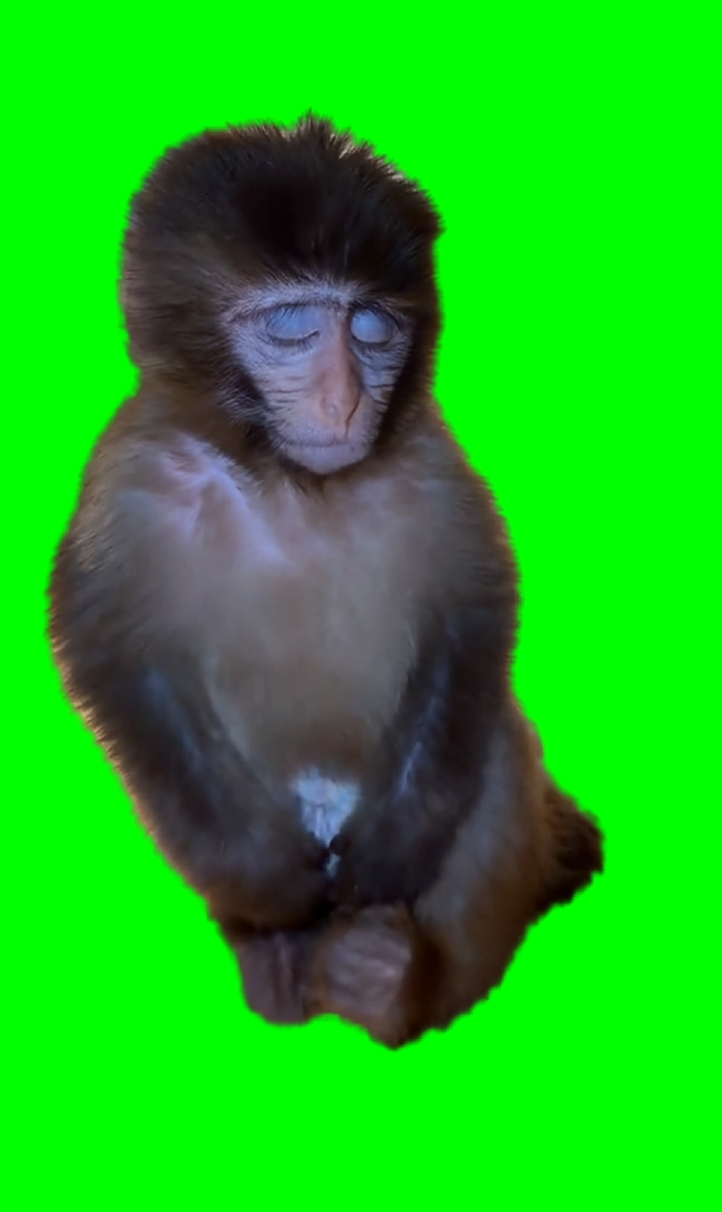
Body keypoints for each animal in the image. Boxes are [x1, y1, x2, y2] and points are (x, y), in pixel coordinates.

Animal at [48, 114, 603, 1048]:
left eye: (373, 328)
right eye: (294, 322)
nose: (345, 402)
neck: (287, 482)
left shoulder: (428, 458)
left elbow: (470, 616)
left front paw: (394, 854)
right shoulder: (128, 479)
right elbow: (124, 668)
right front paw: (269, 887)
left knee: (488, 746)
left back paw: (395, 981)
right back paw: (278, 954)